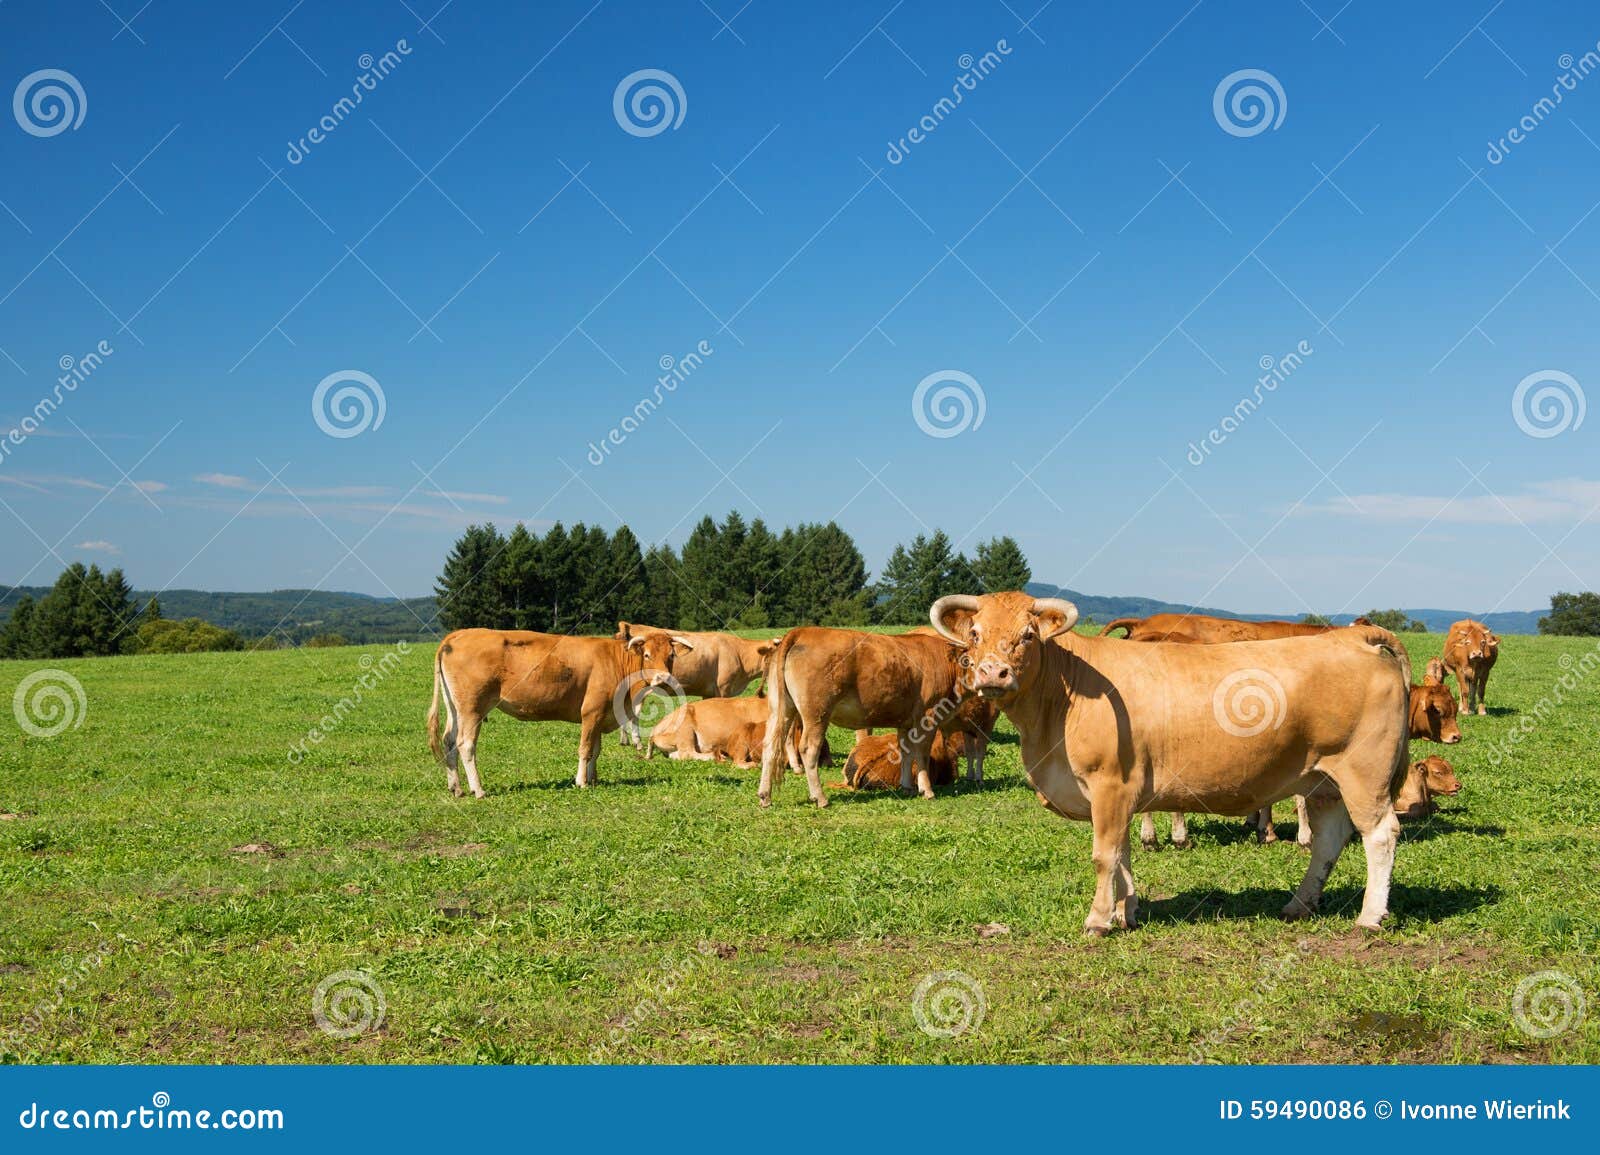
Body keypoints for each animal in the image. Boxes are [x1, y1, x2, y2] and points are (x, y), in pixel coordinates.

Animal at [427, 627, 690, 796]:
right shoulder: (591, 711)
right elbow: (585, 749)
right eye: (647, 654)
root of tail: (460, 633)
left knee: (449, 740)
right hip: (472, 708)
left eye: (671, 655)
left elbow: (595, 750)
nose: (663, 678)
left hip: (455, 707)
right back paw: (478, 789)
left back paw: (456, 787)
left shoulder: (601, 714)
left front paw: (593, 780)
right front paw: (581, 782)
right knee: (465, 744)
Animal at [757, 627, 979, 806]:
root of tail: (801, 631)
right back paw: (820, 798)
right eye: (969, 660)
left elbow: (906, 751)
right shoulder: (928, 716)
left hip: (780, 709)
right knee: (808, 749)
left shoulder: (905, 722)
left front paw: (907, 787)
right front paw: (927, 790)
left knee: (769, 746)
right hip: (816, 714)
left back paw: (765, 796)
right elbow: (921, 753)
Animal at [930, 592, 1411, 933]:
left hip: (1364, 774)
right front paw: (1126, 912)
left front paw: (1098, 919)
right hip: (1321, 781)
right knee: (1329, 840)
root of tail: (1350, 636)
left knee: (1380, 835)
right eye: (975, 633)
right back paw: (1298, 904)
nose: (993, 673)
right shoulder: (1121, 793)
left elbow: (1105, 855)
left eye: (1028, 635)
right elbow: (1123, 854)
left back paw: (1370, 917)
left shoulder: (1109, 783)